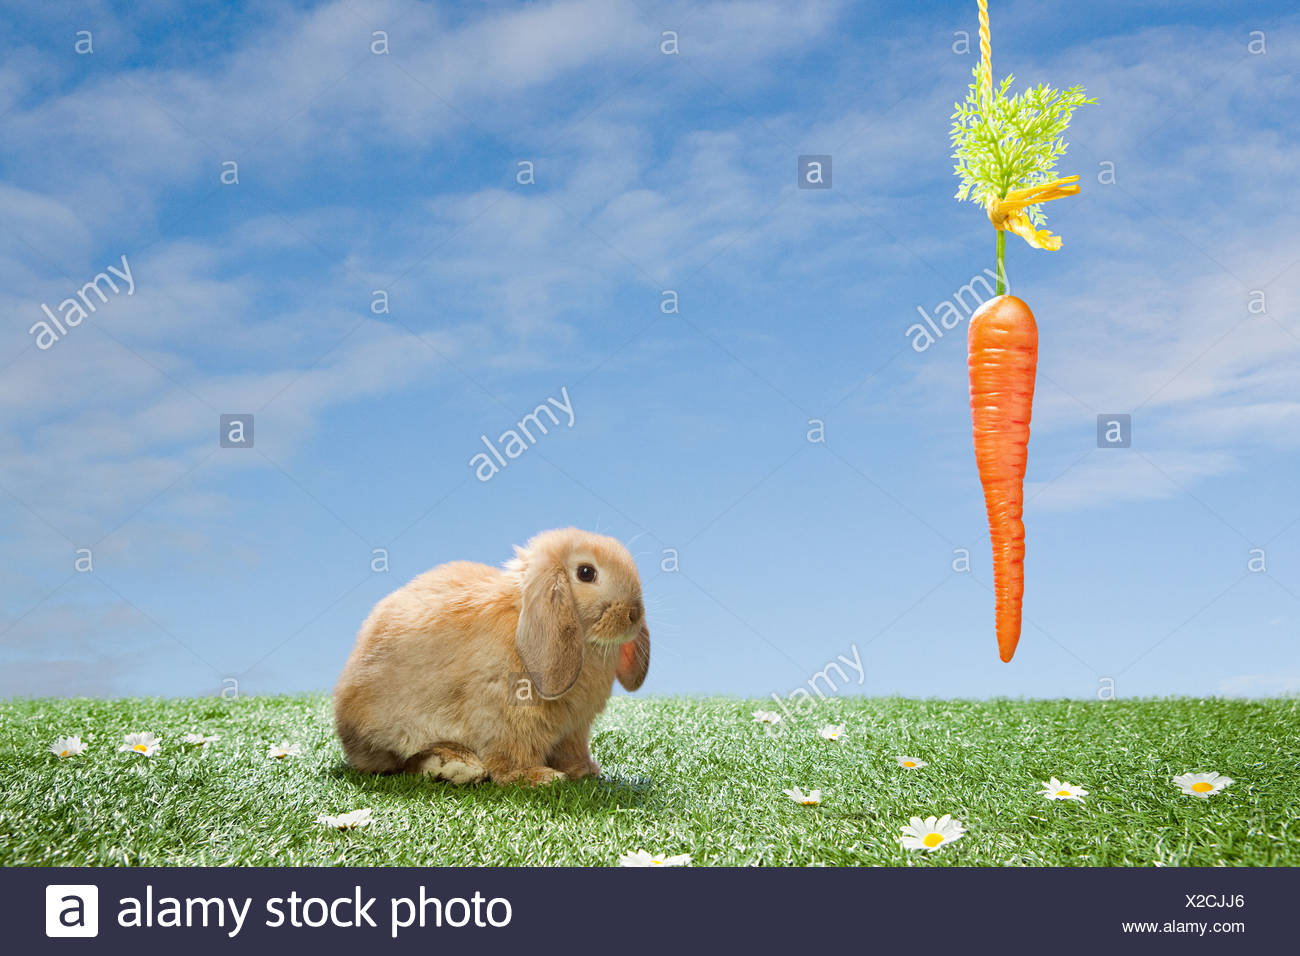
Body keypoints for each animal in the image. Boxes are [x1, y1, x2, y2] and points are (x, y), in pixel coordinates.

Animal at [334, 527, 649, 786]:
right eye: (586, 572)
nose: (634, 614)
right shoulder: (507, 716)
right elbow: (510, 756)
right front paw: (538, 777)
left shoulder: (574, 729)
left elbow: (571, 750)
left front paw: (583, 771)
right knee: (400, 760)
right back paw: (461, 766)